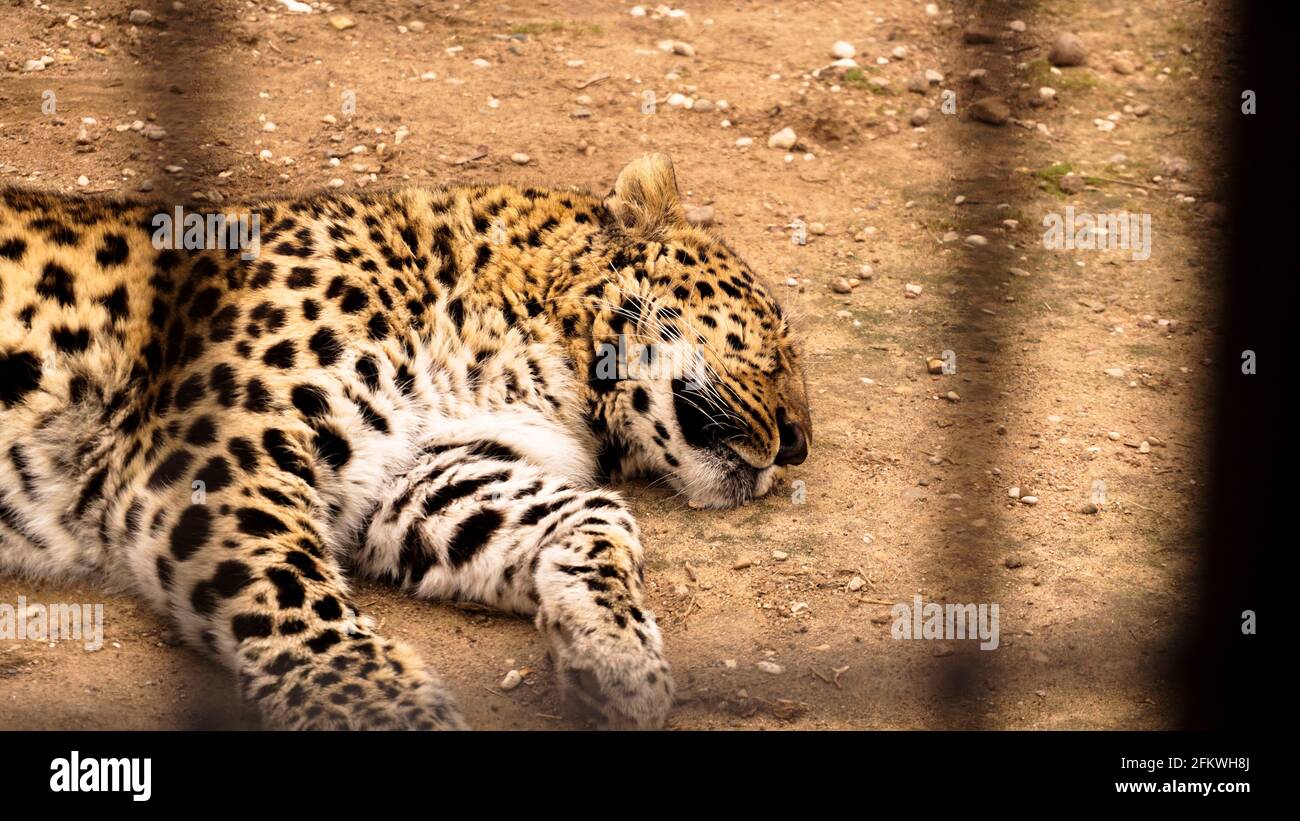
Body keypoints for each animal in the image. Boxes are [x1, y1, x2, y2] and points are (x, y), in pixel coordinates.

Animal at [0, 153, 811, 729]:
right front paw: (388, 709)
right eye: (776, 335)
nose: (799, 446)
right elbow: (295, 595)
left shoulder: (419, 478)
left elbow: (595, 515)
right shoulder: (212, 450)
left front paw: (612, 649)